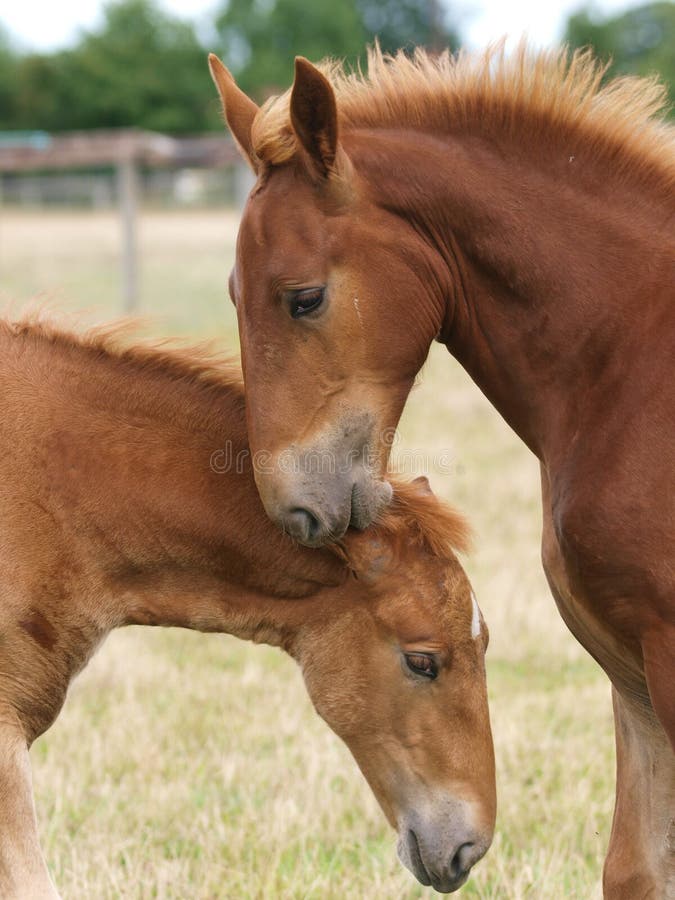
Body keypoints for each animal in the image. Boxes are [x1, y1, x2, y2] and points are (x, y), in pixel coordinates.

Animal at [208, 42, 675, 897]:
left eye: (304, 298)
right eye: (229, 293)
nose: (290, 507)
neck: (631, 364)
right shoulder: (630, 674)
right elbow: (634, 868)